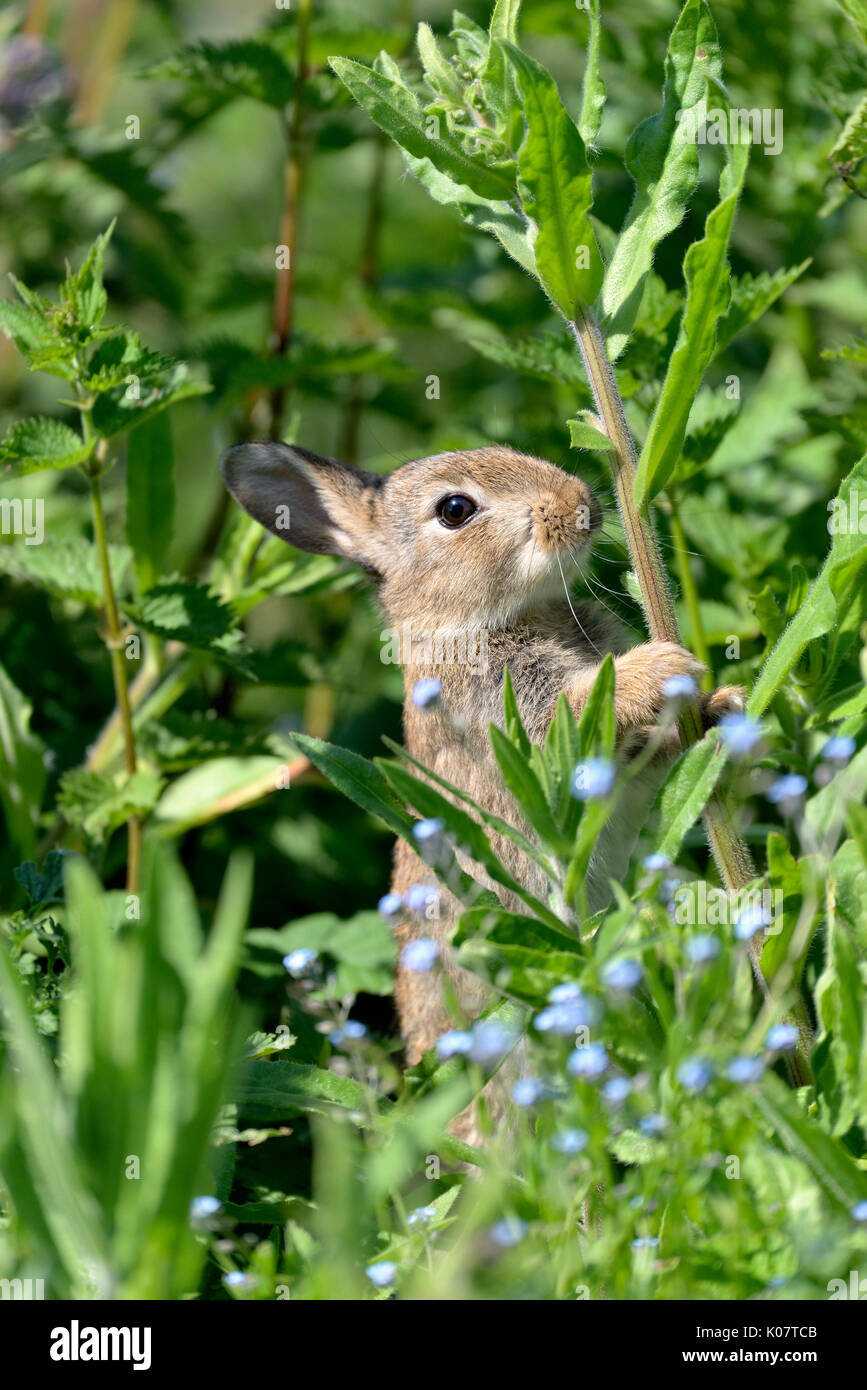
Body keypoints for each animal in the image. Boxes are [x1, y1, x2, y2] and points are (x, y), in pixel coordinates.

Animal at [221, 441, 743, 1144]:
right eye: (455, 510)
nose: (583, 504)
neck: (471, 619)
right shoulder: (522, 728)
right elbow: (582, 711)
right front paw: (662, 666)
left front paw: (720, 706)